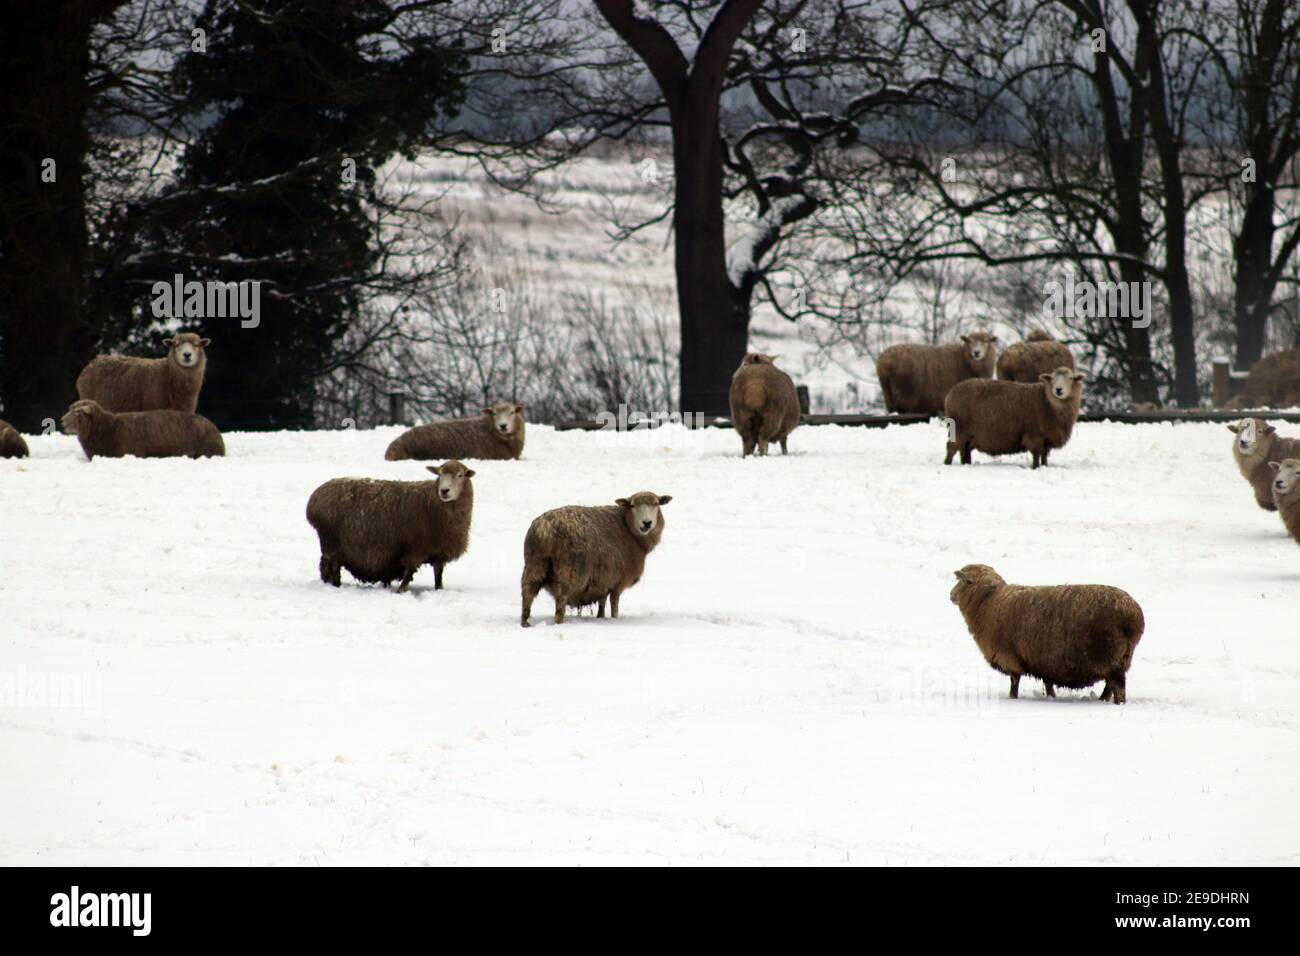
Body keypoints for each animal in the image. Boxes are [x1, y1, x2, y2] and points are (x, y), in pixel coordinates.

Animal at [305, 460, 475, 592]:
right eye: (439, 475)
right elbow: (408, 573)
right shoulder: (415, 549)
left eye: (460, 475)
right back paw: (335, 586)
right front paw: (401, 591)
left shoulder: (440, 554)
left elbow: (438, 576)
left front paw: (439, 590)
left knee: (326, 566)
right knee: (332, 567)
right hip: (331, 543)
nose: (444, 491)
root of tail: (314, 499)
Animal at [520, 492, 671, 627]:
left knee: (527, 595)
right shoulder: (618, 581)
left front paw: (601, 617)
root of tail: (545, 531)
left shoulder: (603, 579)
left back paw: (525, 622)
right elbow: (614, 602)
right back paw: (559, 623)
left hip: (534, 564)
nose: (647, 523)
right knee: (560, 600)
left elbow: (602, 602)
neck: (629, 530)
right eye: (632, 505)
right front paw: (614, 619)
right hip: (568, 572)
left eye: (656, 504)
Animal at [943, 366, 1085, 469]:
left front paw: (1045, 467)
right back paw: (947, 464)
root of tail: (951, 393)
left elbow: (1044, 455)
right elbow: (1036, 454)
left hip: (968, 434)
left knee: (964, 451)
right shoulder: (1034, 434)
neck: (1047, 402)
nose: (1058, 389)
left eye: (1071, 378)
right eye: (1052, 378)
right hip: (958, 429)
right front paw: (1035, 467)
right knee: (951, 448)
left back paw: (966, 464)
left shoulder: (1047, 438)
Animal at [950, 564, 1145, 704]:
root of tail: (1132, 616)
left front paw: (1012, 699)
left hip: (1110, 655)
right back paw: (1102, 699)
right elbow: (1048, 683)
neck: (989, 602)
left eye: (963, 581)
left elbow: (1014, 681)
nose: (950, 594)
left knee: (1117, 686)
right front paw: (1051, 697)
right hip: (1121, 657)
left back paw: (1115, 703)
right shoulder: (1044, 660)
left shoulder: (1010, 656)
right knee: (1110, 685)